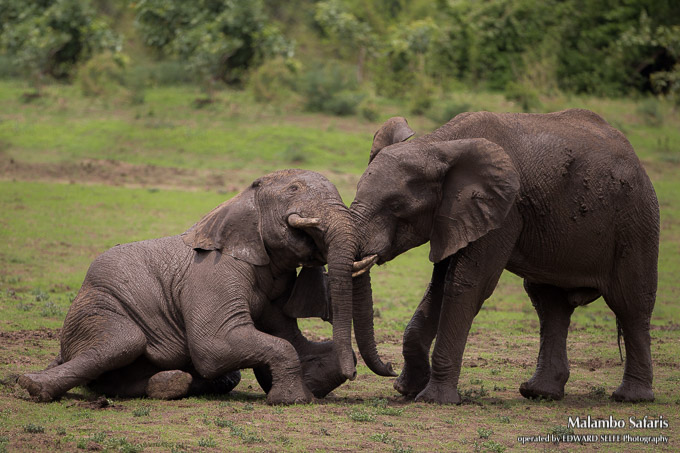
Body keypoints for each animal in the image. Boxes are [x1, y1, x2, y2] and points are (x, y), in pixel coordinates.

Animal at [19, 169, 366, 405]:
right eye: (293, 189)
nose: (352, 374)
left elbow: (291, 339)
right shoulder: (213, 273)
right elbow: (216, 346)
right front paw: (292, 400)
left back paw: (168, 385)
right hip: (98, 303)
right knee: (122, 341)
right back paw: (31, 386)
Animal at [349, 109, 660, 405]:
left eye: (395, 205)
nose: (388, 367)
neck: (438, 144)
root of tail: (635, 157)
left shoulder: (504, 210)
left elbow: (467, 284)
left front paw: (433, 399)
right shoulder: (455, 215)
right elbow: (438, 285)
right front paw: (406, 390)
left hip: (636, 222)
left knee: (630, 303)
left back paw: (631, 397)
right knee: (549, 305)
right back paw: (540, 393)